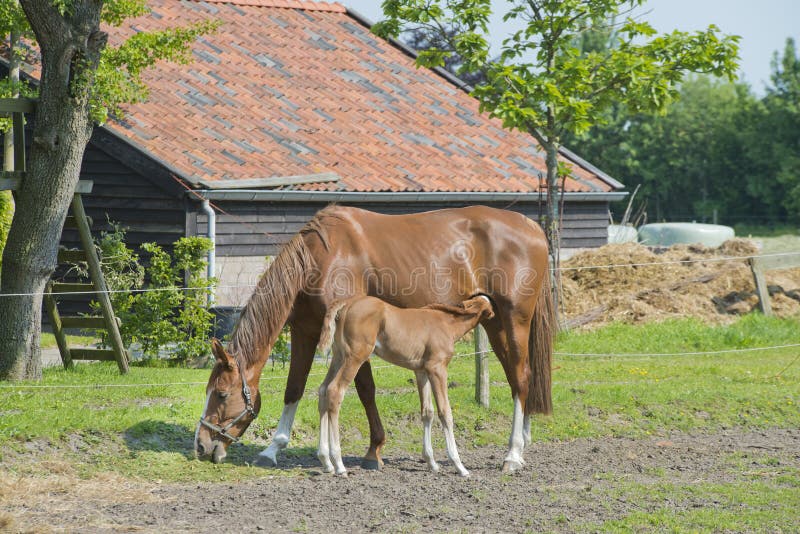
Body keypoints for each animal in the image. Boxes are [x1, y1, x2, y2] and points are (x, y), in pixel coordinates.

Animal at [316, 294, 495, 477]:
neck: (447, 324)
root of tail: (347, 303)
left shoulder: (421, 372)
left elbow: (427, 412)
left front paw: (432, 463)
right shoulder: (437, 369)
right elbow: (445, 413)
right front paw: (460, 466)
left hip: (339, 356)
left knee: (323, 391)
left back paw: (326, 461)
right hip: (355, 357)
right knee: (335, 391)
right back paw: (339, 464)